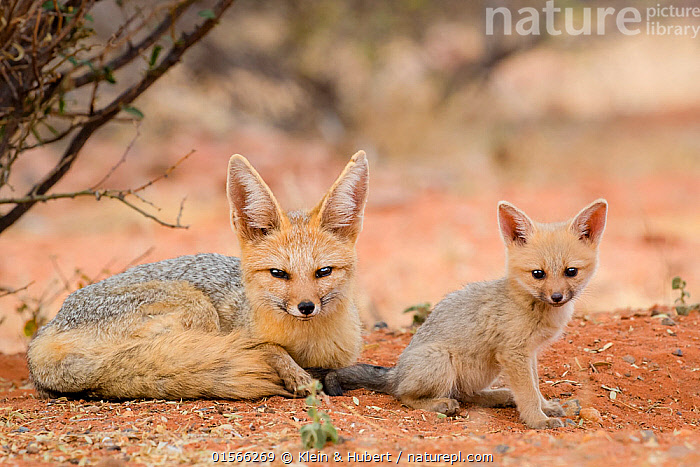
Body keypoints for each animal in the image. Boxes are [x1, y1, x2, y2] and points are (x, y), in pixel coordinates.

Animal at [27, 151, 369, 401]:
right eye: (278, 273)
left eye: (323, 272)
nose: (306, 307)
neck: (307, 344)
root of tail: (43, 335)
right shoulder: (243, 335)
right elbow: (270, 348)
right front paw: (297, 375)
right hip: (197, 309)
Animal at [321, 199, 608, 429]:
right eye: (538, 274)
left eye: (571, 272)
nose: (557, 297)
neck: (528, 305)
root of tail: (396, 373)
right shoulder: (515, 354)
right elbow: (528, 393)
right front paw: (539, 421)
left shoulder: (529, 354)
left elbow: (535, 389)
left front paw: (547, 409)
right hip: (441, 360)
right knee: (404, 396)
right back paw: (440, 404)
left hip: (483, 369)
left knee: (466, 394)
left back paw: (500, 396)